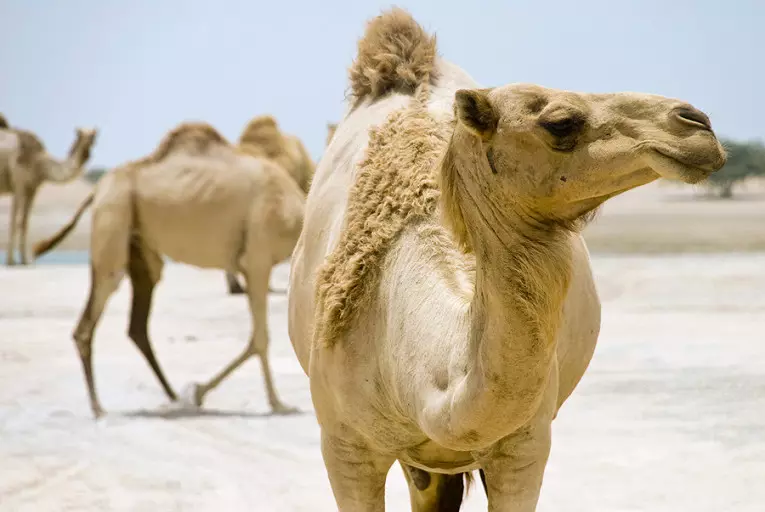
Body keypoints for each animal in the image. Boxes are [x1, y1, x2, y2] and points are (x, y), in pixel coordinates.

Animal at [0, 116, 97, 266]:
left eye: (94, 135)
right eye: (79, 134)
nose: (90, 142)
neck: (40, 162)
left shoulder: (32, 188)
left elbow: (24, 222)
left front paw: (25, 260)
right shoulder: (18, 184)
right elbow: (14, 221)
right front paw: (11, 261)